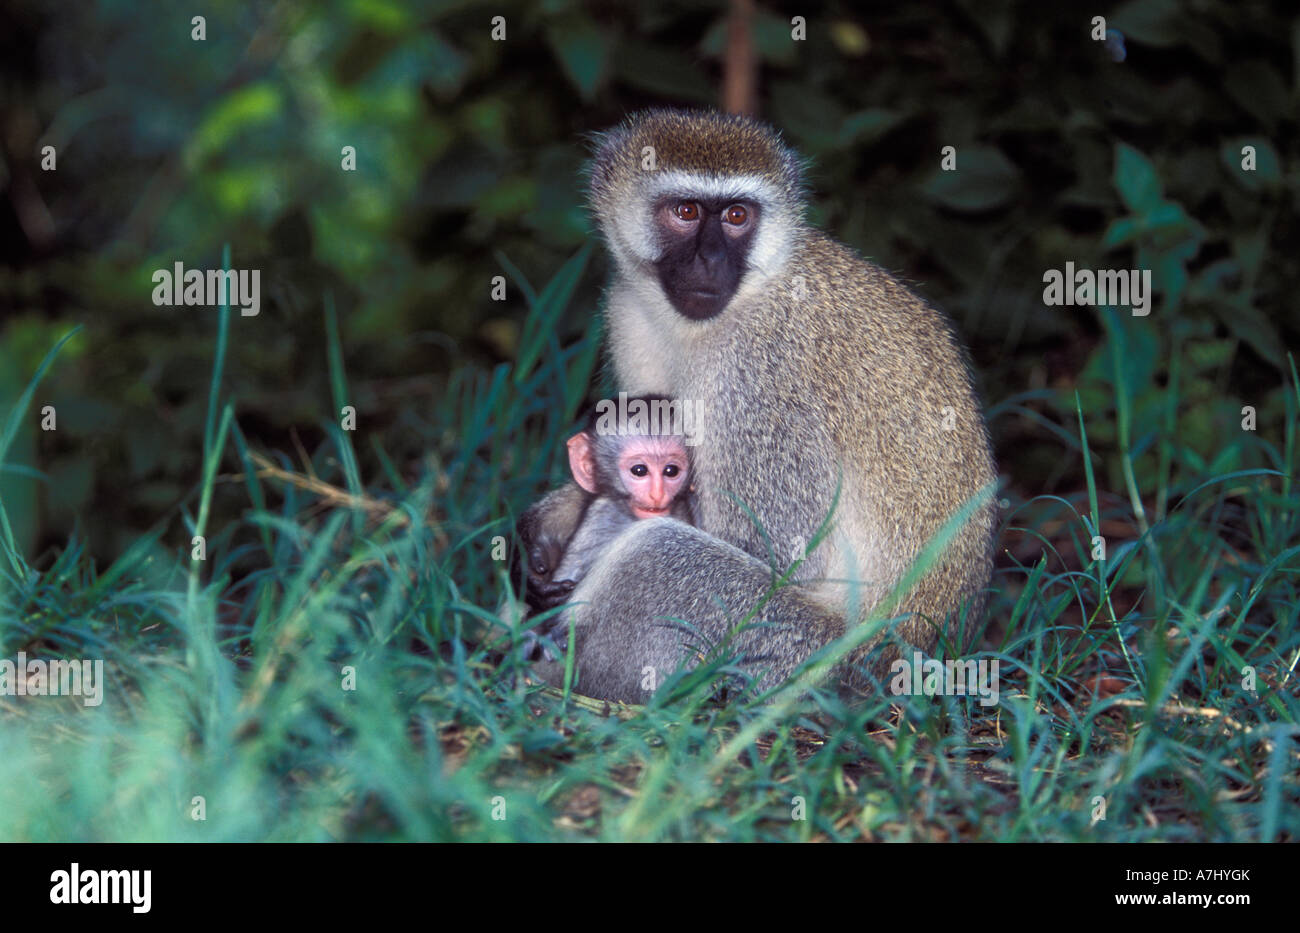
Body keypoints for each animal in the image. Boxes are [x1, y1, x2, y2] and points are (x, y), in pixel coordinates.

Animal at [529, 108, 998, 703]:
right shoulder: (628, 315)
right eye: (686, 211)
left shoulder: (761, 372)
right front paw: (551, 524)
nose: (710, 260)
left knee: (656, 554)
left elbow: (777, 552)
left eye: (736, 216)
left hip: (797, 653)